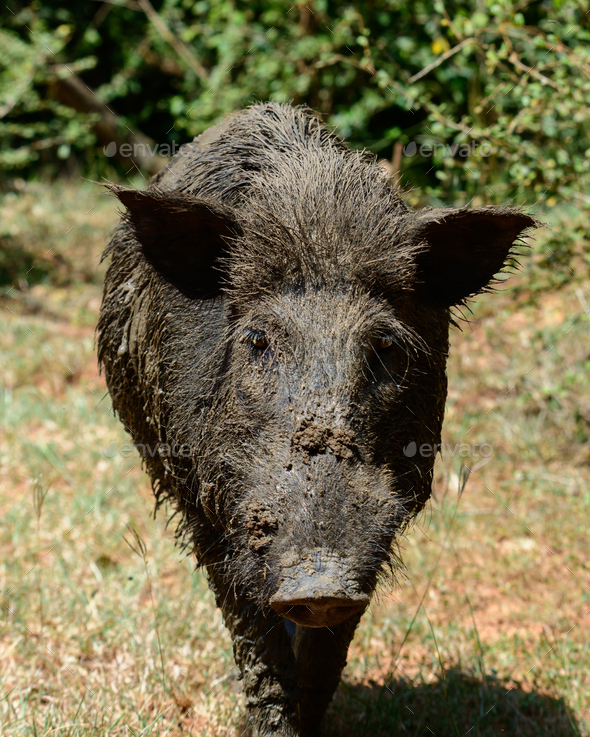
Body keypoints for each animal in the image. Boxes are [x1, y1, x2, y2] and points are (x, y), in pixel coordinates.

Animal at [97, 102, 536, 736]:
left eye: (385, 345)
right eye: (258, 340)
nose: (320, 580)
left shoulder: (384, 515)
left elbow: (329, 649)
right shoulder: (208, 498)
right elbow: (254, 635)